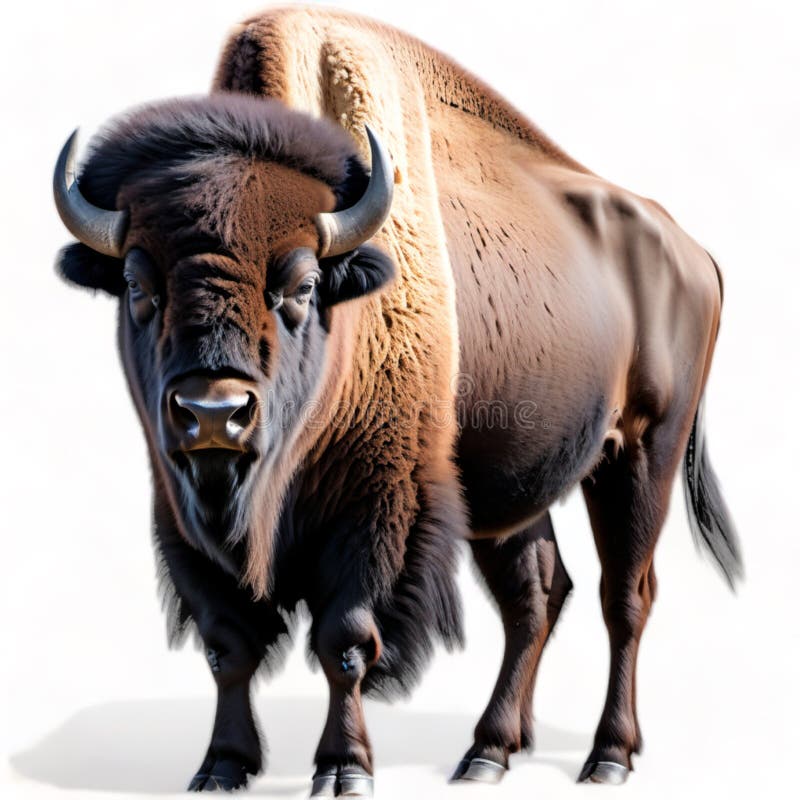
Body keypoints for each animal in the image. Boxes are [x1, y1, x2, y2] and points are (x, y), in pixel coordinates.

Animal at [53, 6, 740, 796]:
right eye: (138, 286)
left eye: (301, 285)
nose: (214, 414)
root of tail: (690, 251)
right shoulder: (180, 512)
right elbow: (228, 643)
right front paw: (221, 766)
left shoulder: (378, 506)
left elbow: (345, 639)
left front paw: (343, 768)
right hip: (508, 492)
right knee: (536, 596)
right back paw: (488, 752)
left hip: (641, 452)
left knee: (624, 596)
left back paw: (608, 757)